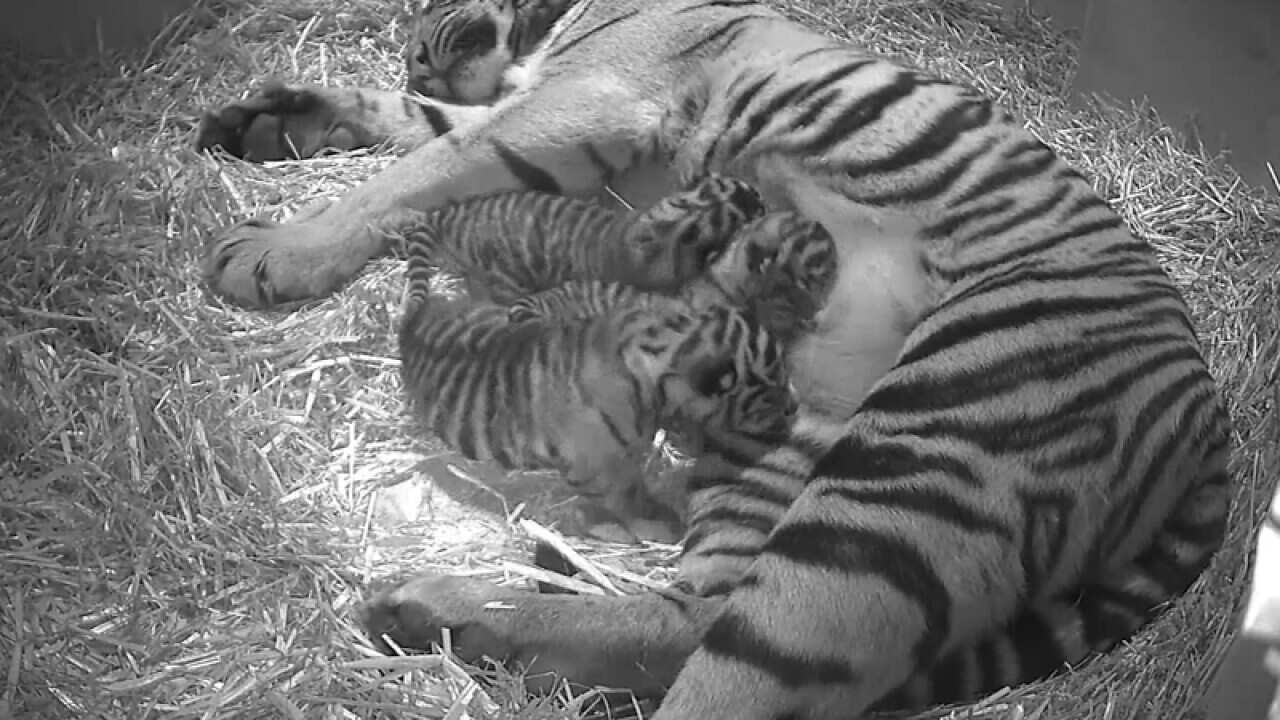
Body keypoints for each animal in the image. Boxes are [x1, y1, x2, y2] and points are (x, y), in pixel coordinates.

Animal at [195, 0, 1233, 717]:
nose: (412, 43)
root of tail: (1214, 414)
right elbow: (416, 124)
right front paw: (263, 120)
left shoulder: (578, 101)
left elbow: (410, 171)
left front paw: (268, 251)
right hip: (786, 442)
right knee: (689, 614)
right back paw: (438, 615)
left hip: (917, 468)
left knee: (739, 667)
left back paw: (436, 611)